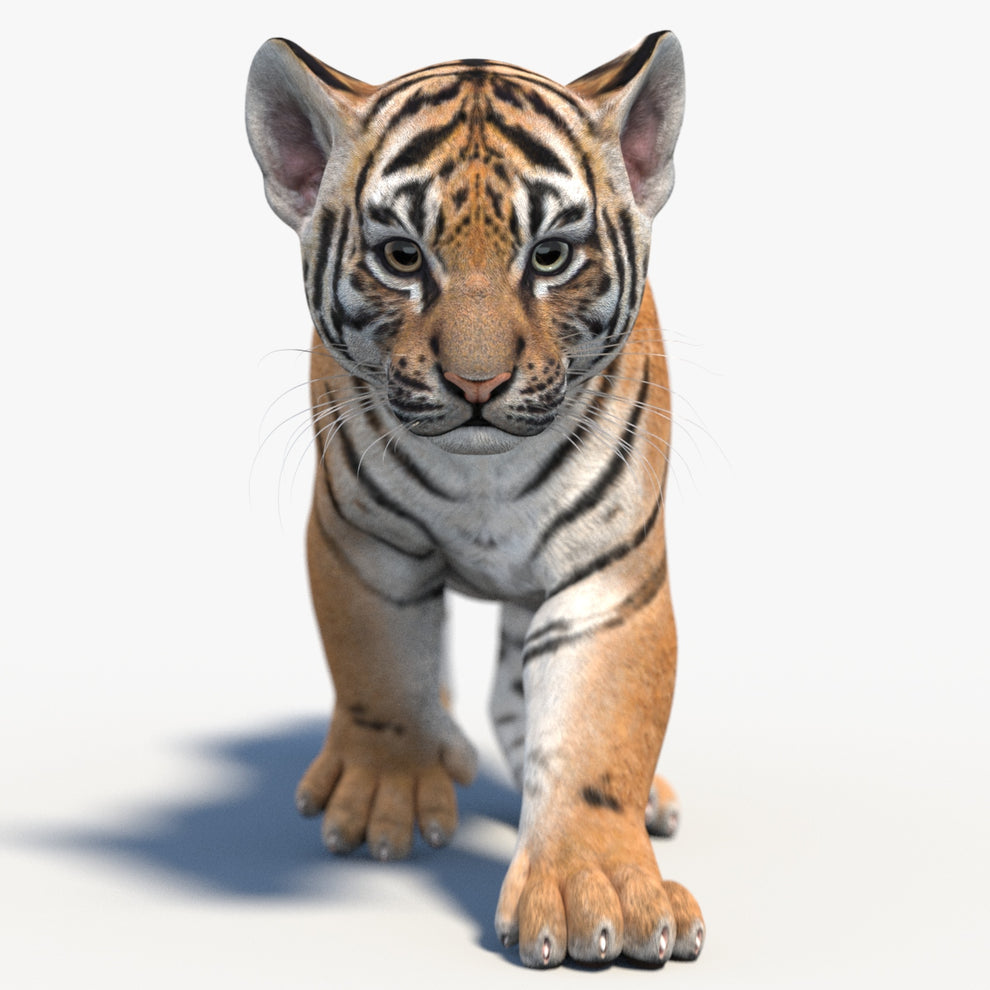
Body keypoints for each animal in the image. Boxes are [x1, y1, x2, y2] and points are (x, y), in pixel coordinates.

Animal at [245, 31, 704, 968]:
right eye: (402, 257)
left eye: (551, 255)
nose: (478, 385)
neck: (482, 477)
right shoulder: (364, 542)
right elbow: (380, 665)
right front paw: (382, 799)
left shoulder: (608, 579)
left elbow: (599, 731)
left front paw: (596, 892)